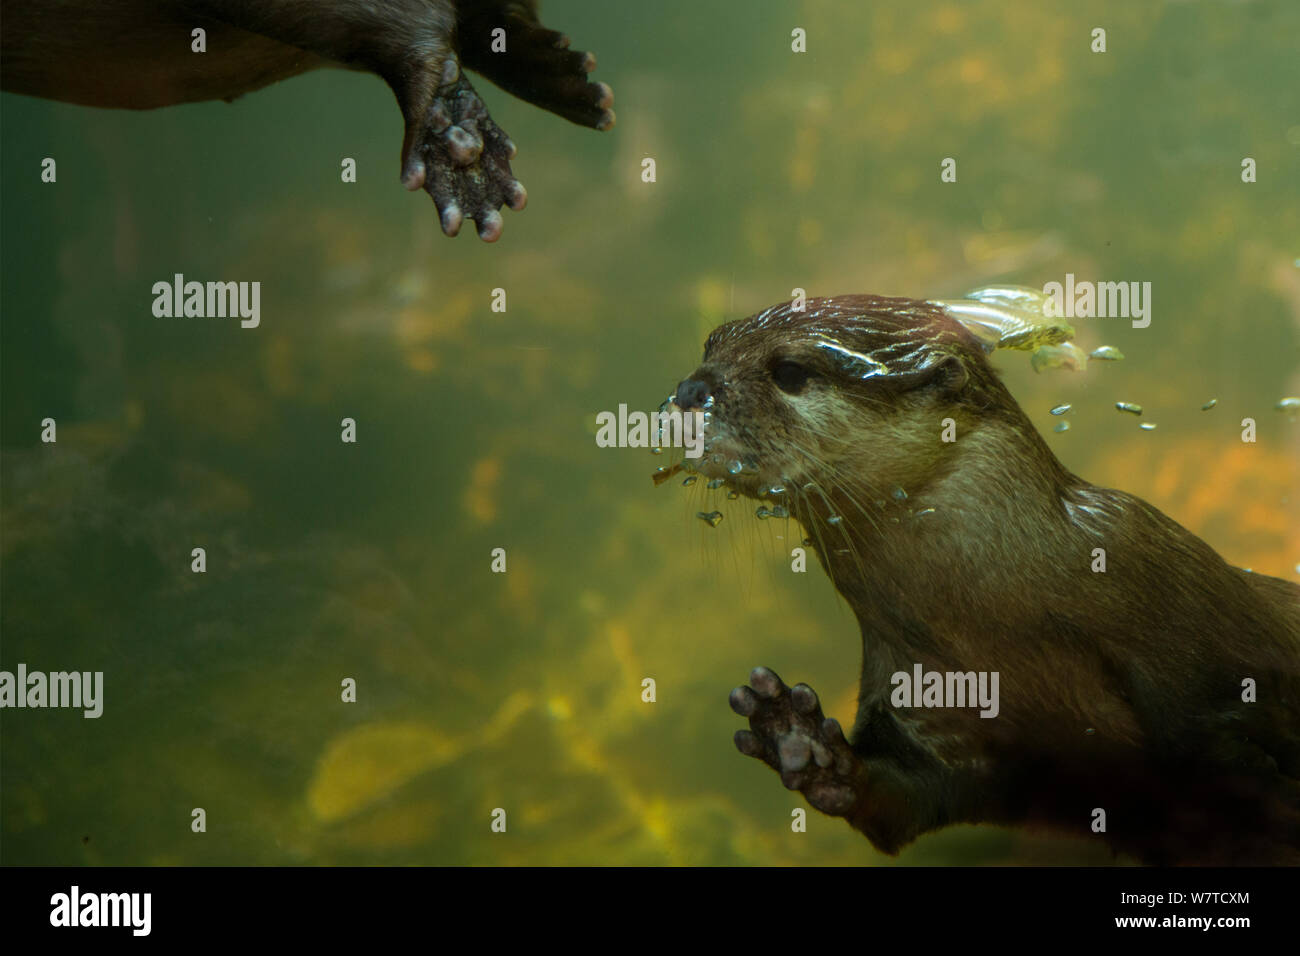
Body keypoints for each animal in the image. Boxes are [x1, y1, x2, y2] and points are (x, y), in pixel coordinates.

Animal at [665, 293, 1300, 865]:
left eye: (791, 371)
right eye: (711, 344)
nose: (691, 391)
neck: (1004, 612)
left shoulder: (1164, 595)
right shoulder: (919, 692)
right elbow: (902, 799)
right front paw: (796, 733)